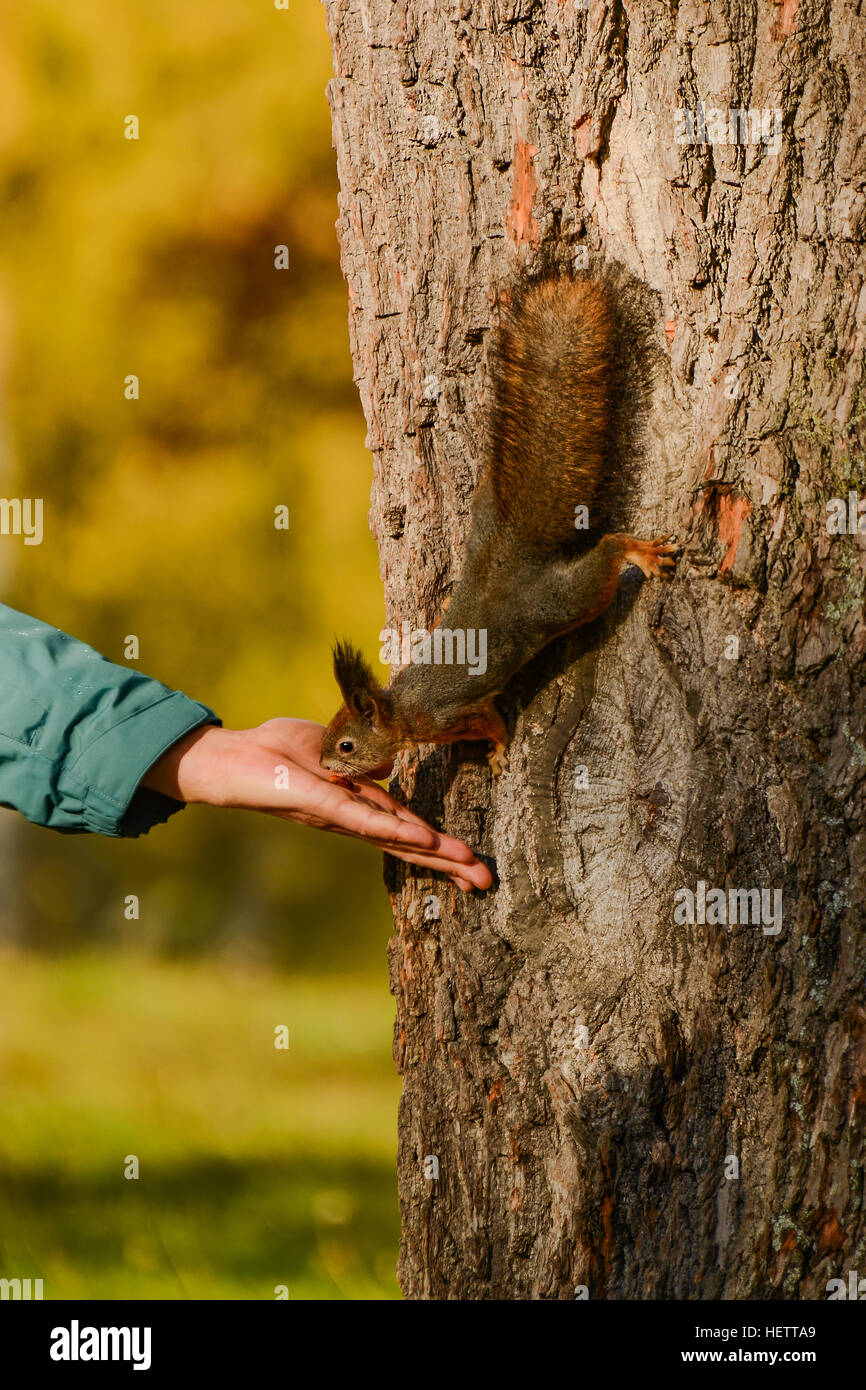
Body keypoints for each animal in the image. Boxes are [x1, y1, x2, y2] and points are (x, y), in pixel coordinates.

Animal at [320, 276, 677, 783]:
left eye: (346, 745)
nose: (323, 764)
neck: (404, 711)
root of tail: (513, 549)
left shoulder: (454, 714)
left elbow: (491, 722)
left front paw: (499, 751)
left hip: (564, 601)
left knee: (605, 555)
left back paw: (638, 553)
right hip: (486, 510)